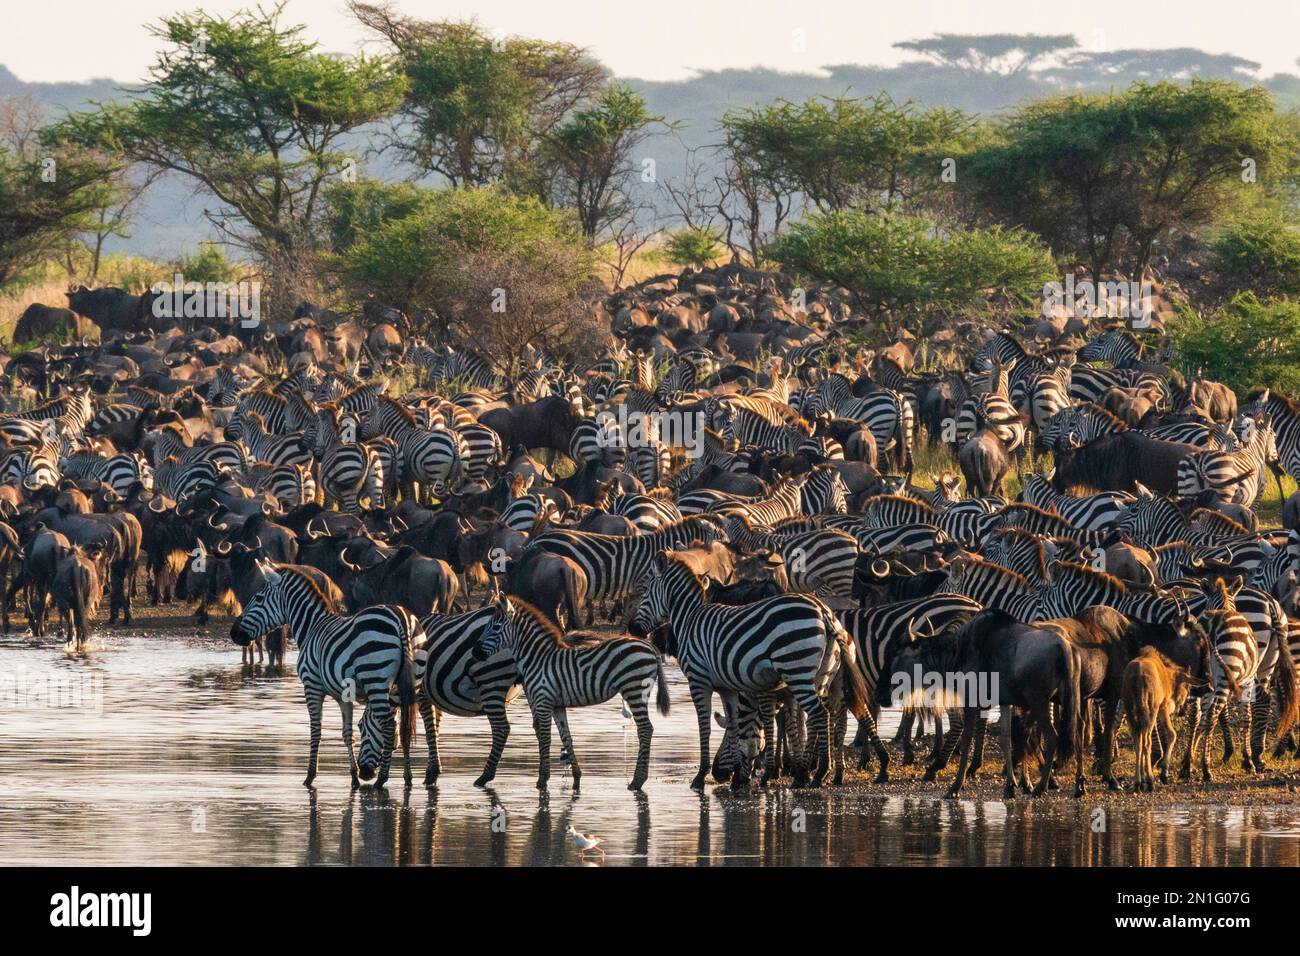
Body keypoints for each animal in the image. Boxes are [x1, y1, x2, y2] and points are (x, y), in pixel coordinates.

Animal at [230, 562, 423, 789]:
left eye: (258, 598)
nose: (233, 633)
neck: (312, 627)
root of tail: (401, 618)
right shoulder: (343, 696)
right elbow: (347, 734)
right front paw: (354, 778)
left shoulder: (311, 684)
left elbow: (316, 731)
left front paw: (310, 776)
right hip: (410, 683)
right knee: (404, 728)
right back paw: (408, 778)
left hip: (376, 680)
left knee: (389, 726)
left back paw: (381, 779)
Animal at [472, 596, 669, 791]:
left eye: (495, 627)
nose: (475, 652)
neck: (537, 658)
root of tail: (650, 647)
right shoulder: (557, 705)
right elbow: (566, 737)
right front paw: (576, 779)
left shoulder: (543, 701)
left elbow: (545, 739)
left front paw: (542, 781)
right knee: (646, 729)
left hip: (634, 689)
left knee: (645, 729)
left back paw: (637, 781)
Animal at [630, 550, 869, 789]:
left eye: (646, 591)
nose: (634, 630)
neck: (690, 618)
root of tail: (823, 611)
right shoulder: (727, 688)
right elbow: (735, 724)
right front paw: (738, 774)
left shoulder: (698, 680)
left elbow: (704, 726)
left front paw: (701, 776)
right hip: (821, 676)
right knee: (821, 714)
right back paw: (810, 772)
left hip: (797, 670)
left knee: (819, 713)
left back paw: (815, 773)